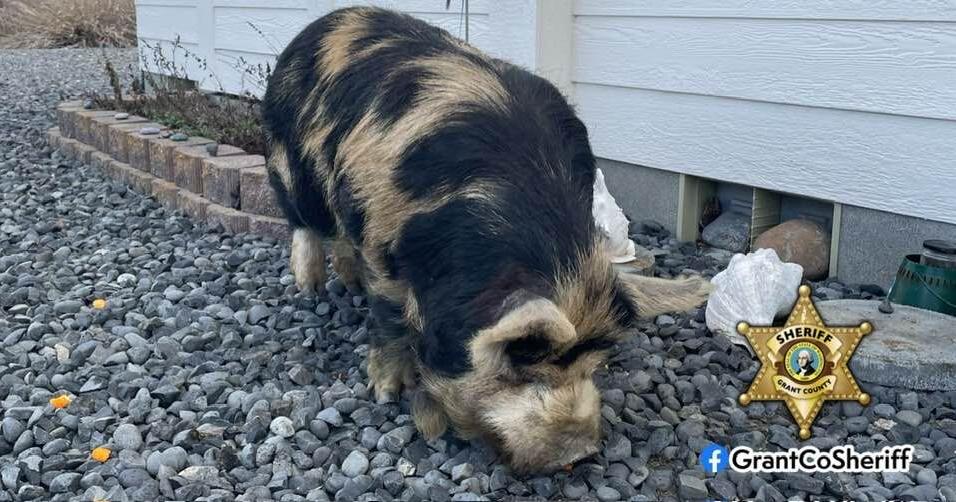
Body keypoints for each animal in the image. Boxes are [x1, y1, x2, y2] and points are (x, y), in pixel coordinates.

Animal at [261, 6, 711, 473]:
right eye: (520, 366)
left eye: (594, 364)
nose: (580, 452)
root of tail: (331, 19)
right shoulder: (382, 243)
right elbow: (390, 317)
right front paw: (387, 393)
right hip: (290, 160)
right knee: (303, 221)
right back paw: (310, 287)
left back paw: (347, 282)